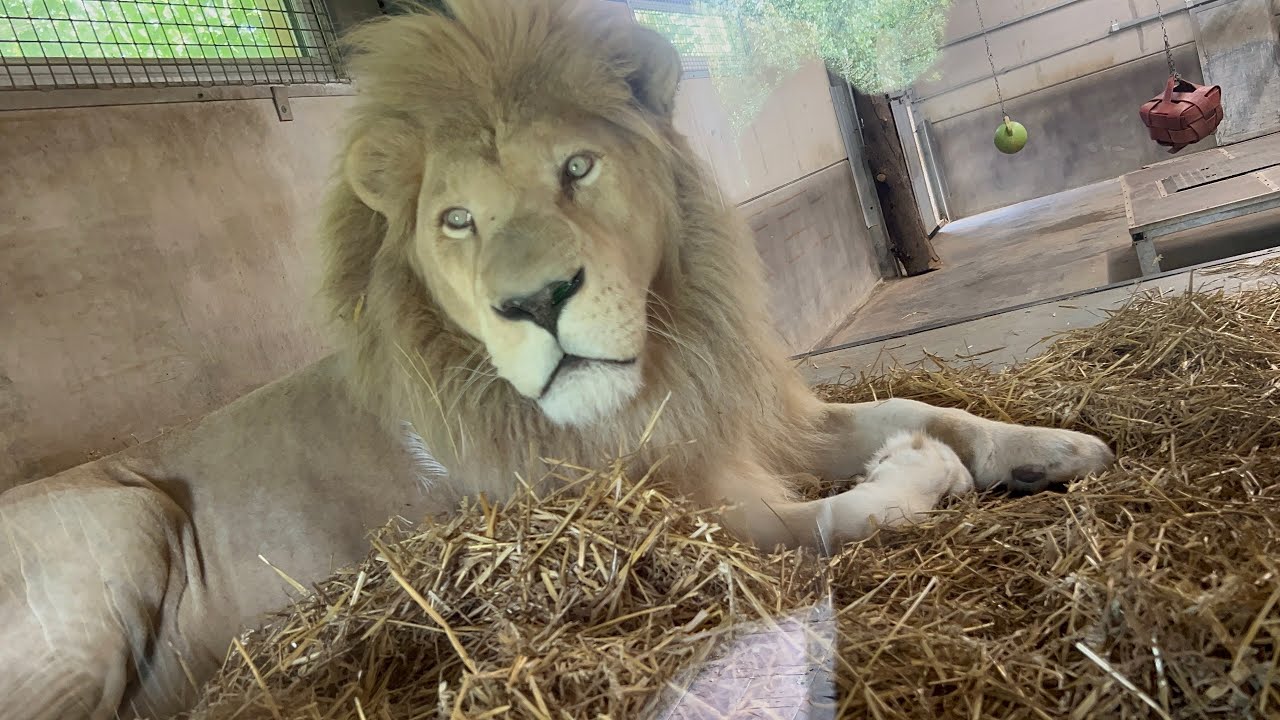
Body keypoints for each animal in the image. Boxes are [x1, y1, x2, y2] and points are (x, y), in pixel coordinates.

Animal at [0, 1, 1115, 718]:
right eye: (456, 220)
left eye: (576, 168)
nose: (534, 301)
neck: (663, 368)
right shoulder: (691, 514)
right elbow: (855, 508)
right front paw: (918, 475)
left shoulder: (757, 419)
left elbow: (929, 407)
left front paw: (1054, 446)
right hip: (121, 522)